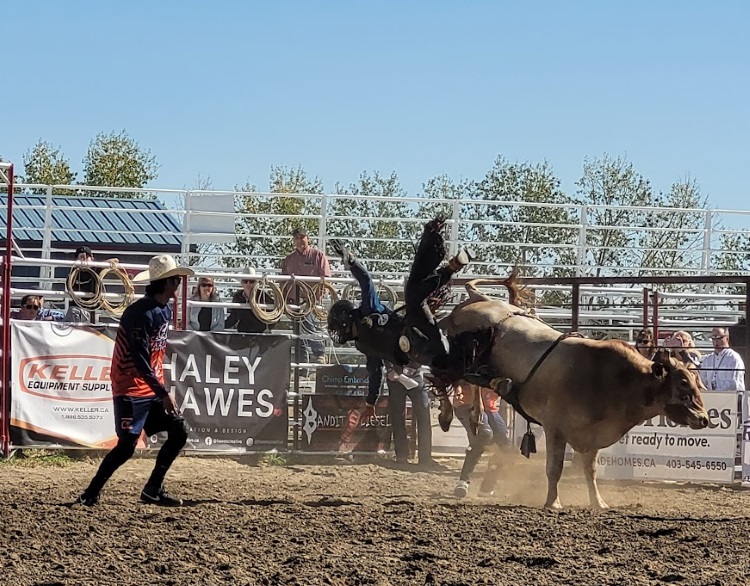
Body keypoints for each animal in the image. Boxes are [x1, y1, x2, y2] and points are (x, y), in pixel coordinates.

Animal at [429, 274, 709, 509]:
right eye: (683, 384)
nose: (704, 419)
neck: (611, 379)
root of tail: (481, 299)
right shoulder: (555, 428)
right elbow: (554, 468)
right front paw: (553, 502)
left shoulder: (592, 435)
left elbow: (590, 470)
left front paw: (598, 502)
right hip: (451, 356)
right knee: (437, 374)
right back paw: (446, 415)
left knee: (472, 383)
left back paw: (478, 410)